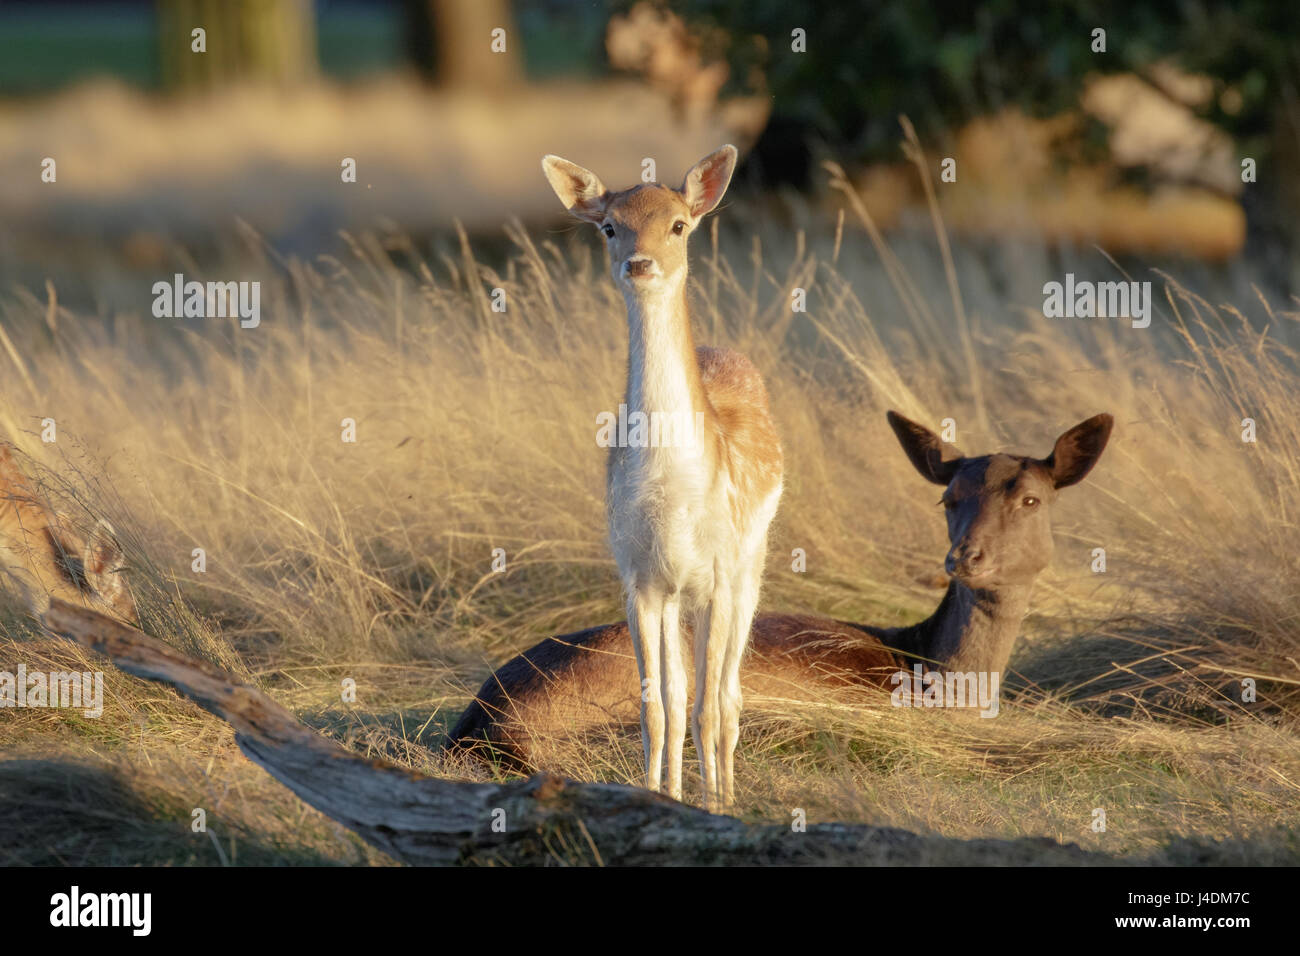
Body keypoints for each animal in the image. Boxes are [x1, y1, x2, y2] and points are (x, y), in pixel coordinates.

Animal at [540, 146, 784, 810]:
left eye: (678, 224)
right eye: (609, 226)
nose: (639, 262)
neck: (672, 491)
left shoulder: (719, 574)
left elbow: (709, 709)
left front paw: (716, 807)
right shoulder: (637, 577)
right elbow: (657, 709)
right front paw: (656, 796)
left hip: (751, 564)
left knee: (728, 697)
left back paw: (725, 791)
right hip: (676, 595)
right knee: (678, 699)